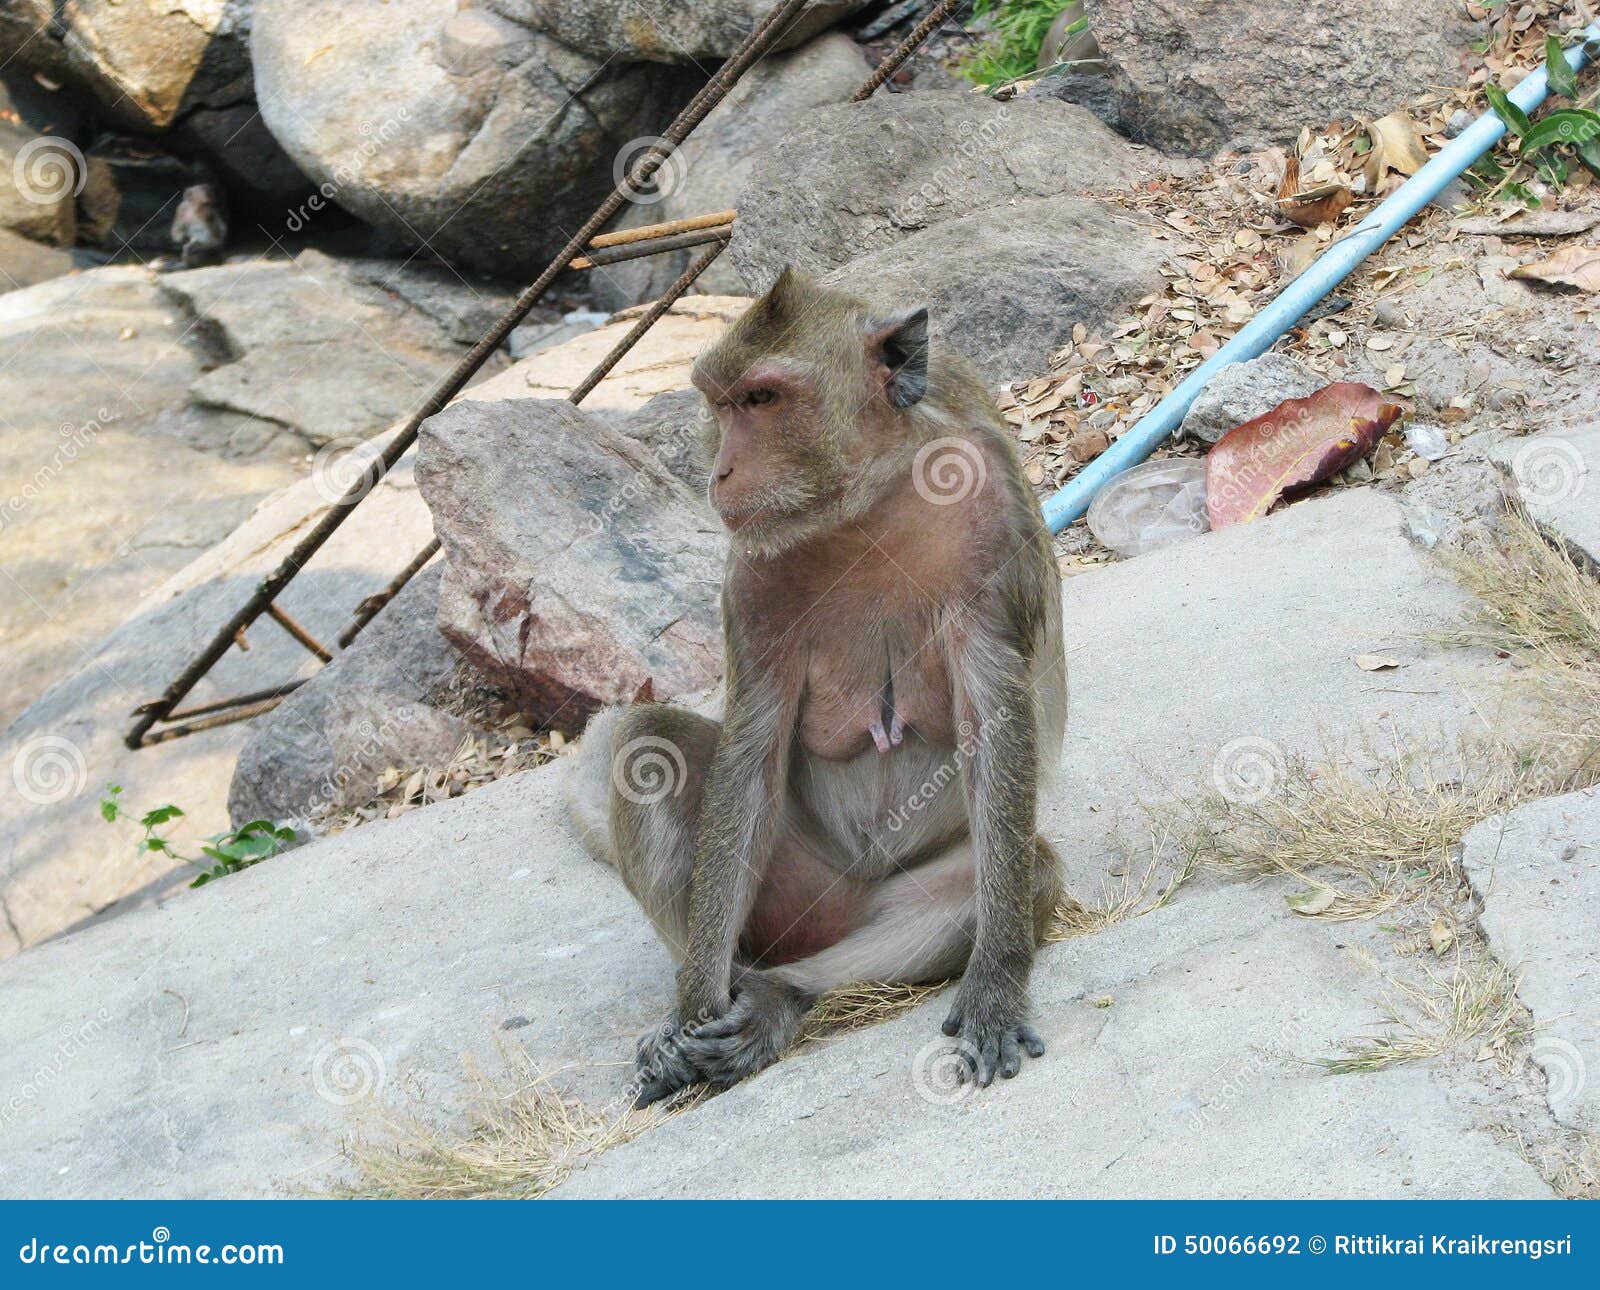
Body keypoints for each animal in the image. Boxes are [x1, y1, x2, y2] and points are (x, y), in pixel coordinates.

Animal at [565, 268, 1067, 1105]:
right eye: (720, 404)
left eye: (763, 399)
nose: (721, 472)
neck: (864, 504)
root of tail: (839, 916)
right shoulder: (751, 575)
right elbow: (750, 748)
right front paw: (694, 1007)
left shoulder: (992, 516)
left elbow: (996, 716)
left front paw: (996, 984)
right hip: (791, 896)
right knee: (650, 746)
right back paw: (729, 992)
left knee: (1019, 877)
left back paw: (783, 995)